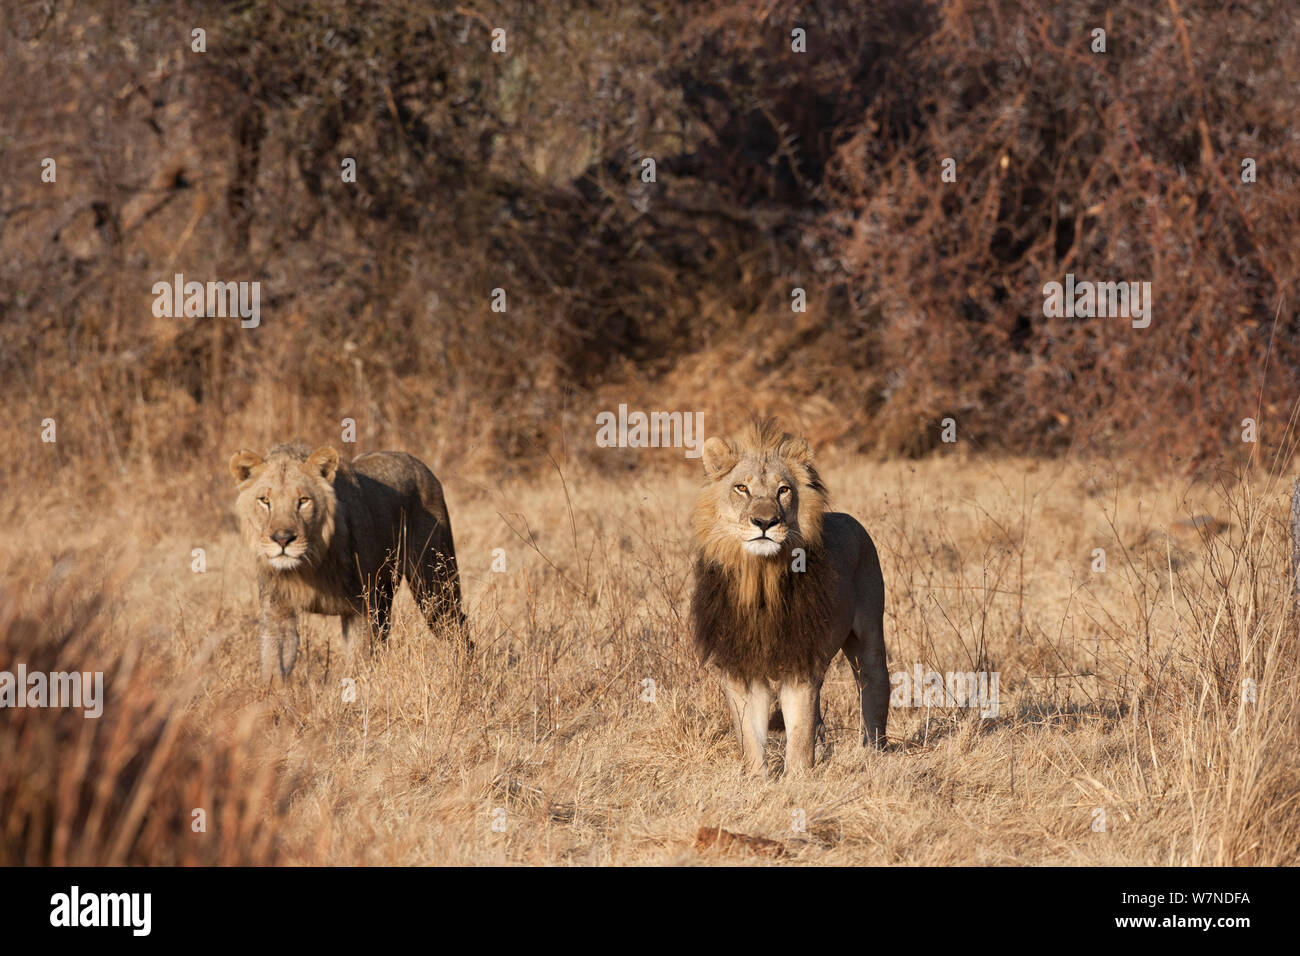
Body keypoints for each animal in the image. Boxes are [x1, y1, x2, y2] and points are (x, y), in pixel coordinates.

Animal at [228, 441, 466, 680]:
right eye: (265, 501)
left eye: (303, 501)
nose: (282, 539)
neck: (308, 565)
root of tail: (420, 465)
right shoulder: (277, 610)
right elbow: (274, 667)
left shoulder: (361, 609)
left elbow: (359, 664)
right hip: (386, 595)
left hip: (433, 587)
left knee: (457, 627)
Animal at [690, 419, 888, 774]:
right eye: (741, 488)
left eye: (783, 490)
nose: (765, 522)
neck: (761, 579)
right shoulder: (740, 666)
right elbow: (750, 736)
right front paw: (757, 779)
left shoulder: (800, 663)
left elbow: (799, 734)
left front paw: (797, 779)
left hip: (868, 634)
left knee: (874, 685)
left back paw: (875, 753)